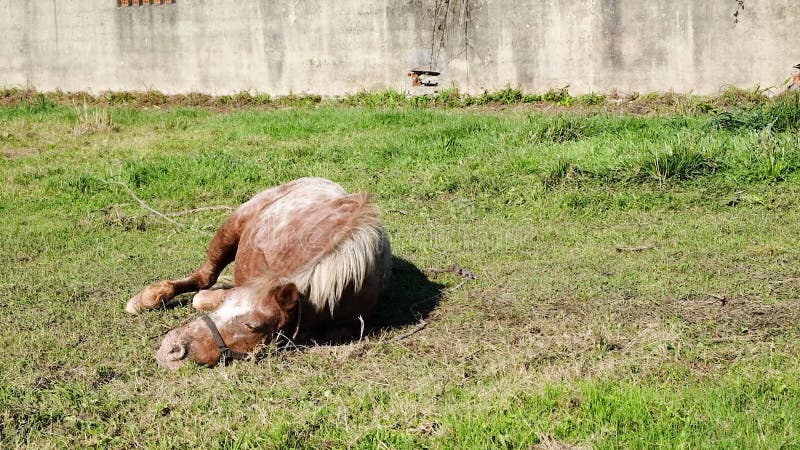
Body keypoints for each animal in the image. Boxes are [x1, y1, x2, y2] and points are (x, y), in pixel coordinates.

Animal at [125, 177, 392, 369]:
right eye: (224, 305)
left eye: (252, 326)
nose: (171, 348)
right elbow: (203, 296)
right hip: (232, 227)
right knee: (205, 276)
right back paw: (145, 299)